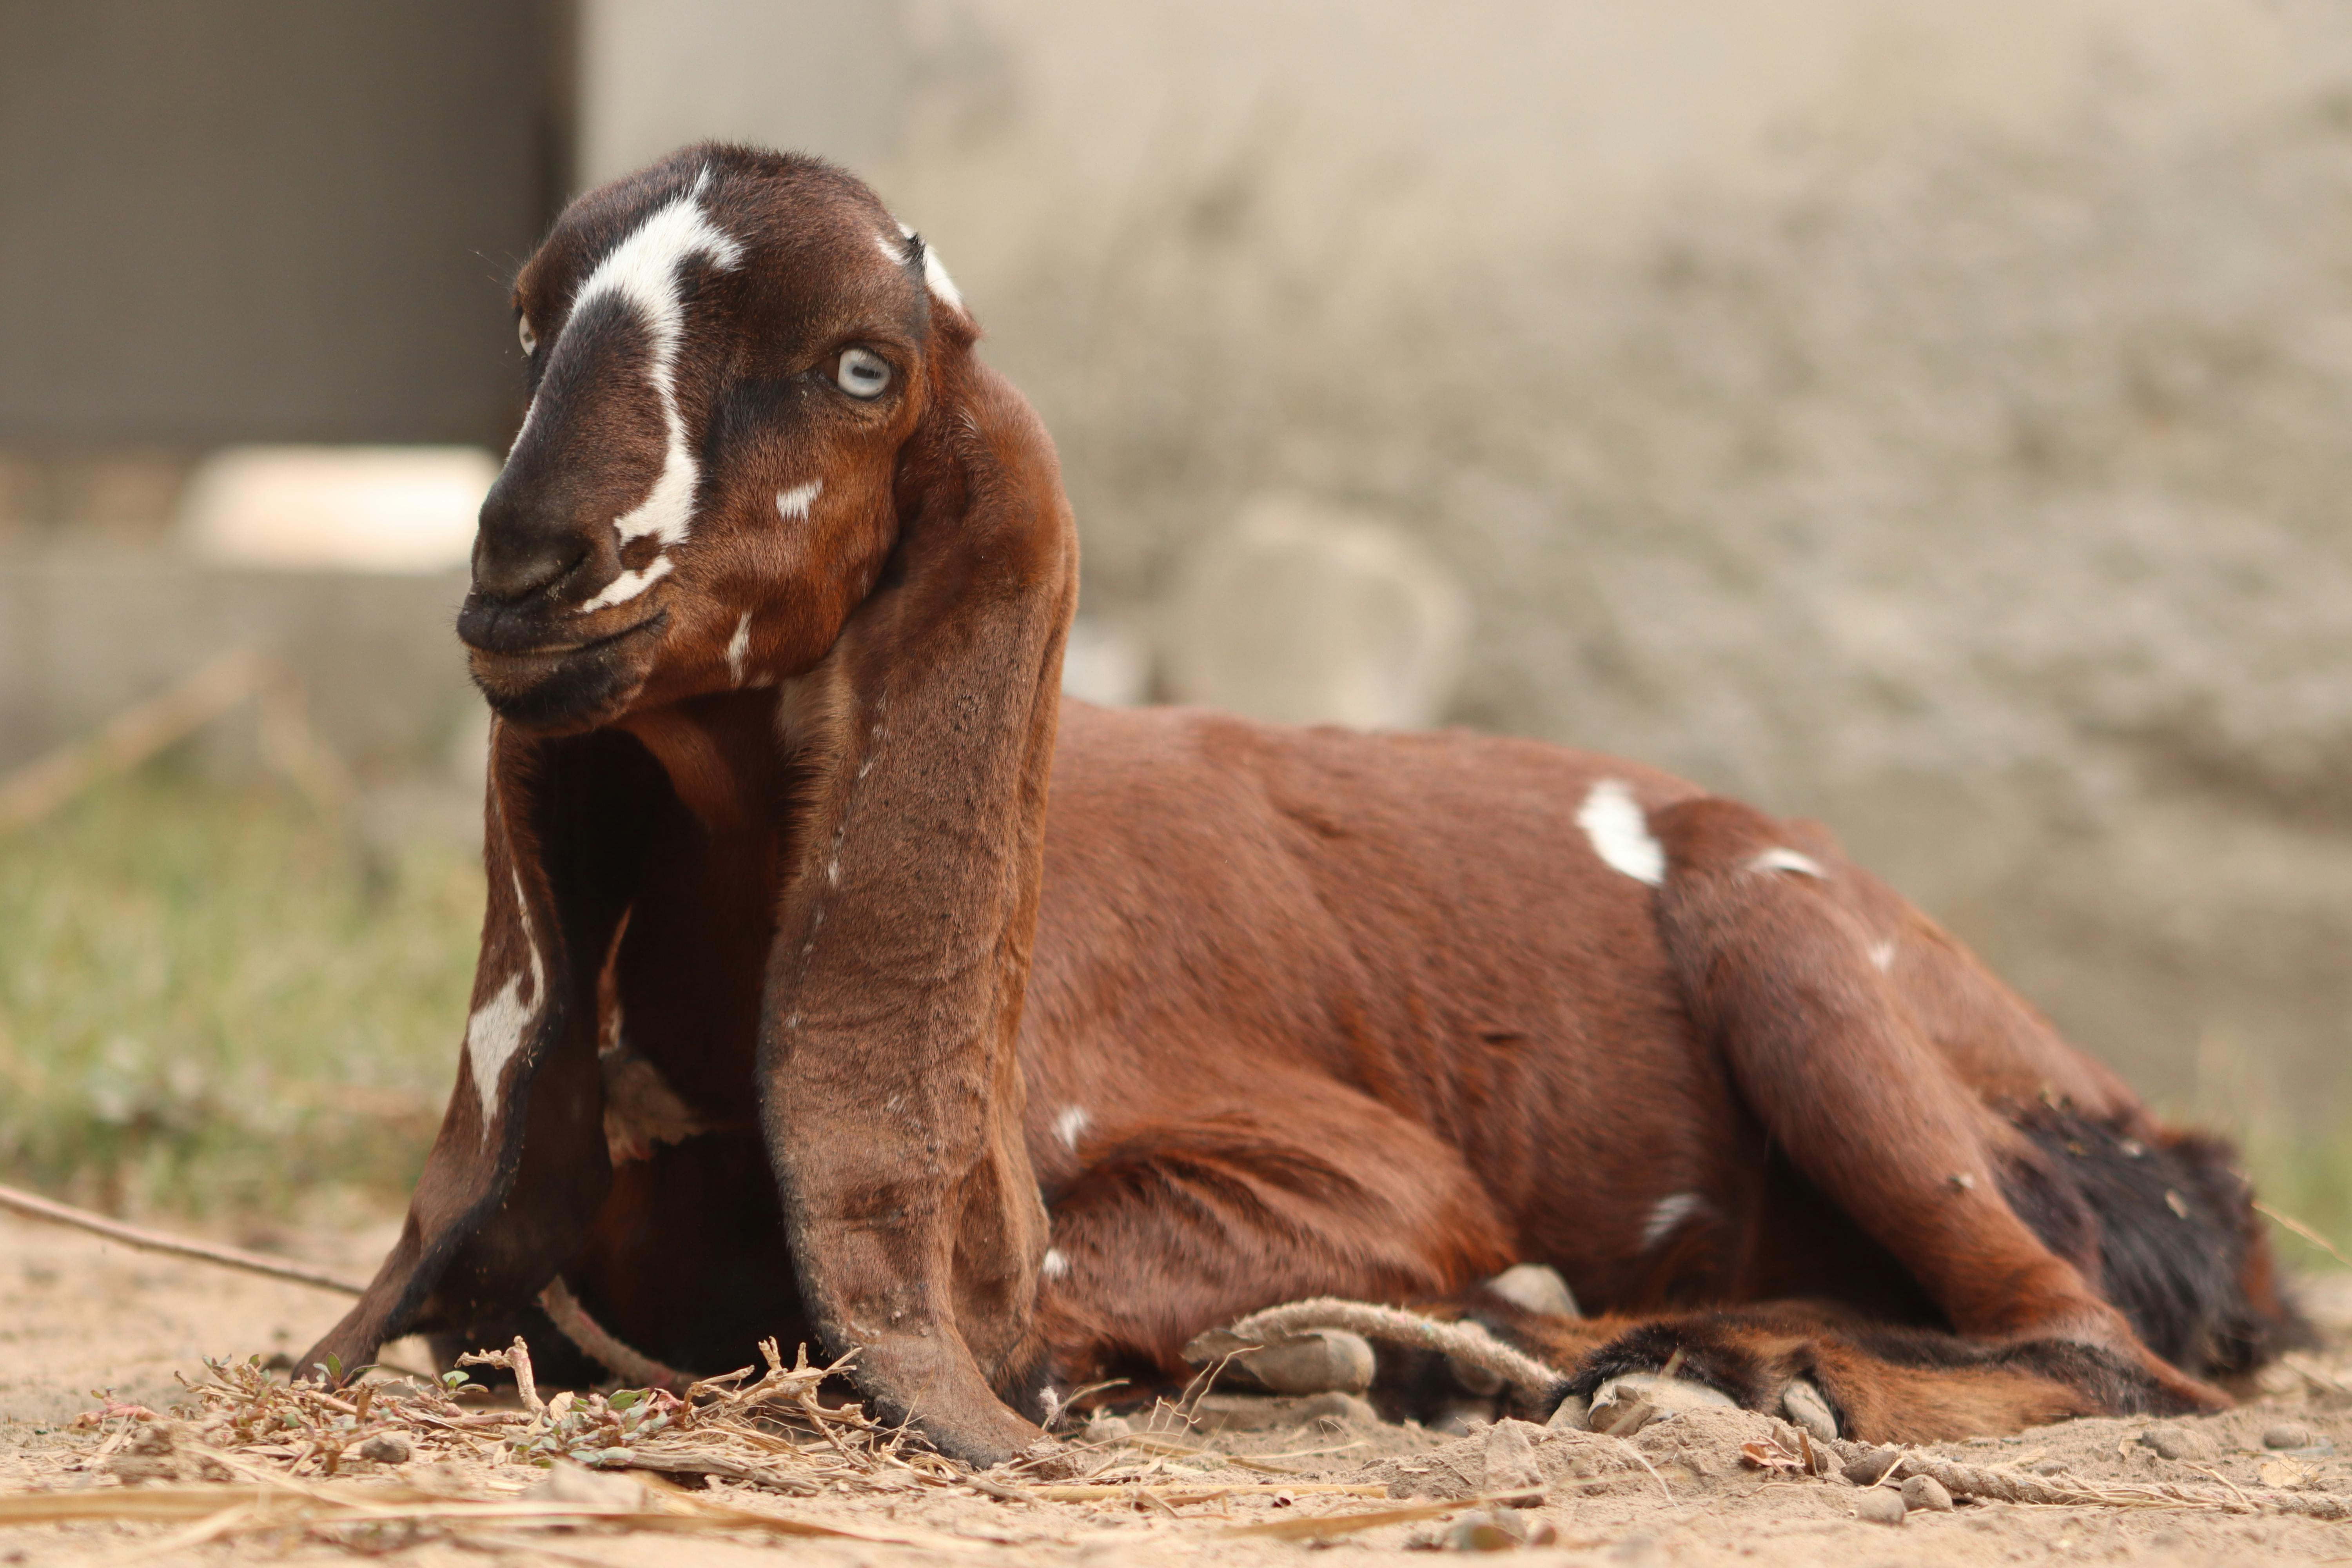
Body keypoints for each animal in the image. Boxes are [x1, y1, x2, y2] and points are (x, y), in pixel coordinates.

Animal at [302, 145, 2307, 1466]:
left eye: (862, 363)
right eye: (533, 326)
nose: (527, 566)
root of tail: (2183, 1155)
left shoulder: (1361, 1167)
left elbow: (1094, 1274)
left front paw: (1449, 1328)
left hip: (1792, 945)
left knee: (2104, 1343)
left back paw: (1733, 1373)